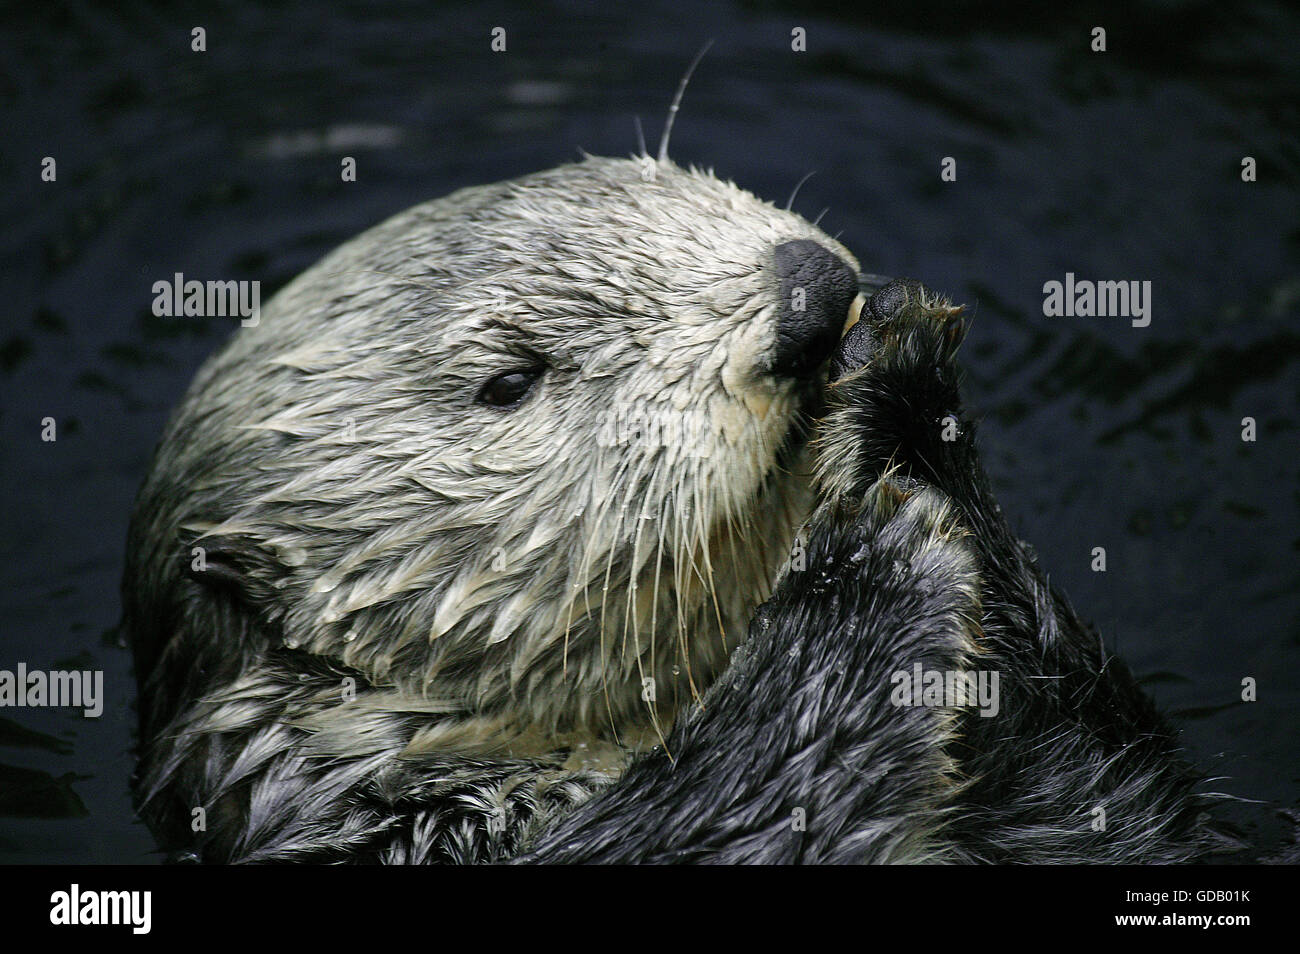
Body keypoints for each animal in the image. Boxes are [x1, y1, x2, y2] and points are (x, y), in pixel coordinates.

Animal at [124, 152, 1219, 863]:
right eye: (510, 380)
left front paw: (901, 385)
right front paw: (860, 589)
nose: (810, 295)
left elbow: (1120, 807)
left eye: (692, 193)